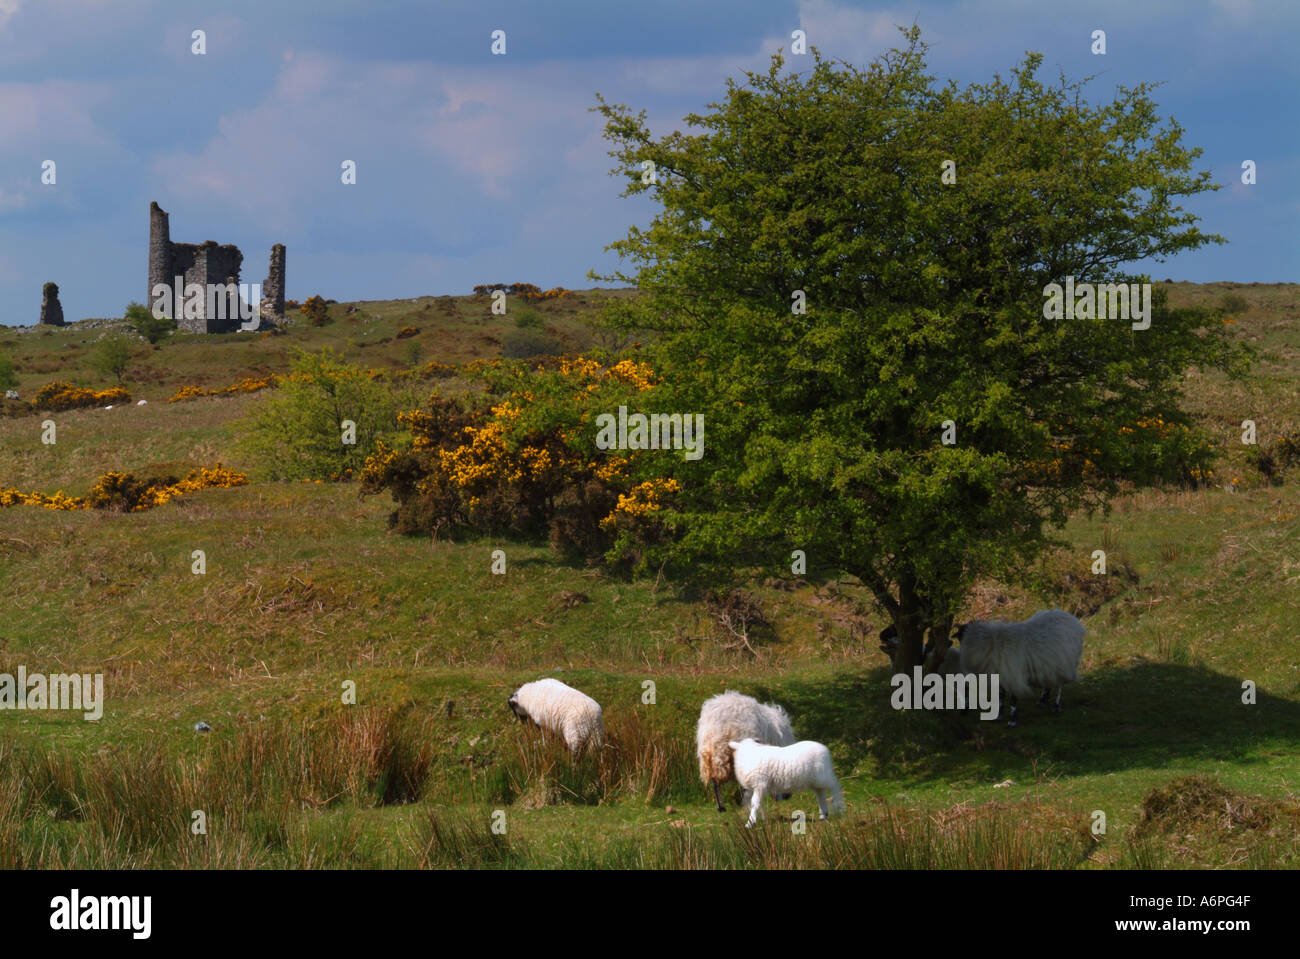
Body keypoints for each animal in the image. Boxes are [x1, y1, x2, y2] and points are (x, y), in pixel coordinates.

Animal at [951, 608, 1085, 727]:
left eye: (961, 635)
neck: (992, 642)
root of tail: (1072, 619)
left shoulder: (1013, 674)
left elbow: (1013, 700)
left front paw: (1012, 721)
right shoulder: (1001, 674)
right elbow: (1000, 697)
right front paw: (998, 716)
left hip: (1064, 663)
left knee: (1060, 685)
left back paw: (1056, 706)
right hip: (1048, 665)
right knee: (1049, 682)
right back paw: (1042, 701)